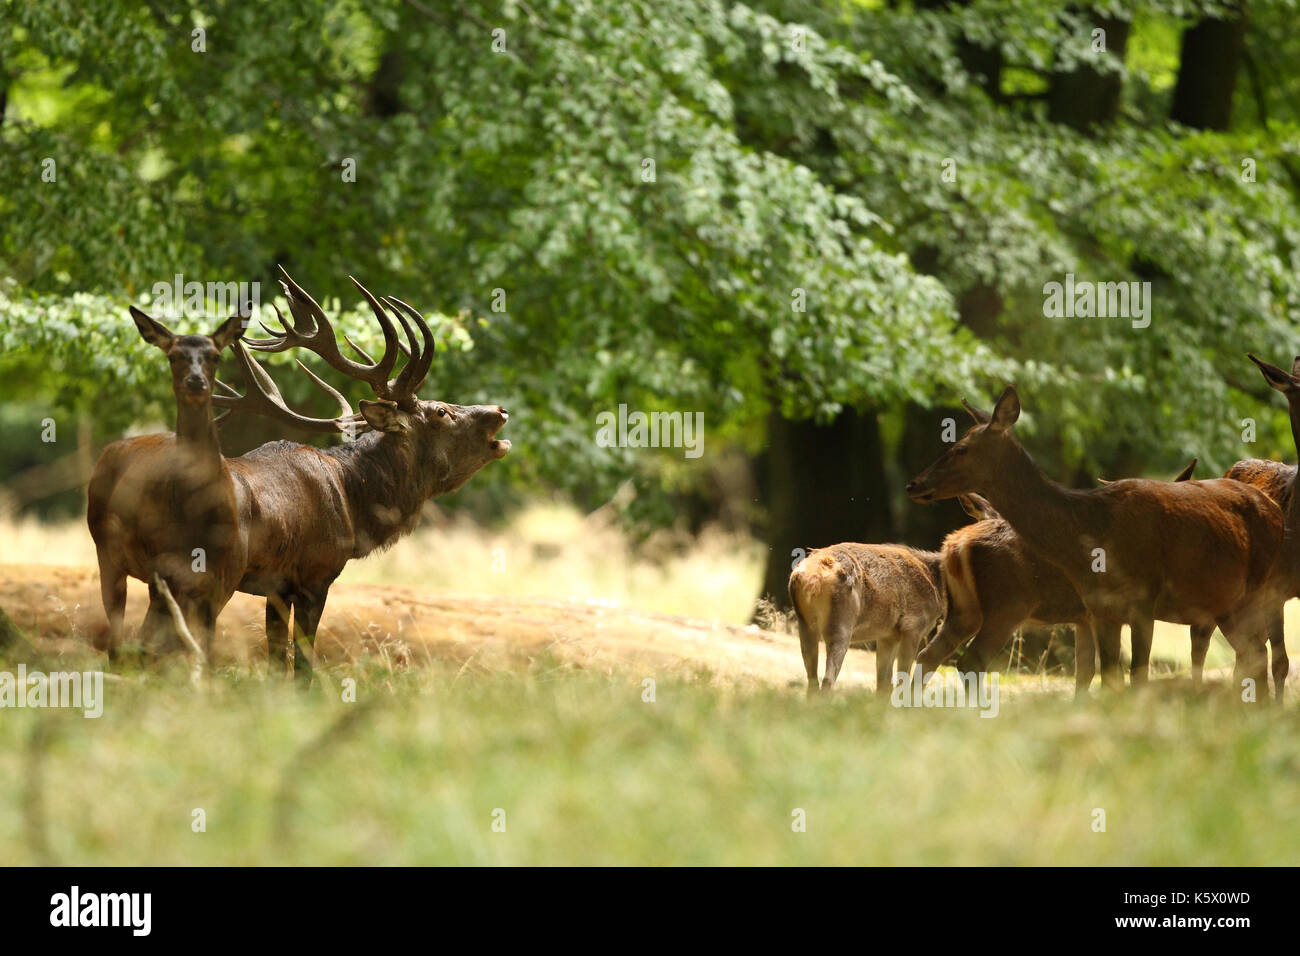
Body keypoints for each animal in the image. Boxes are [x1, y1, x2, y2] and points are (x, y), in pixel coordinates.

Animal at [87, 309, 248, 664]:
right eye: (173, 356)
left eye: (215, 355)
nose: (195, 381)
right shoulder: (162, 562)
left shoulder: (223, 572)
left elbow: (204, 645)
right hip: (106, 549)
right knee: (118, 629)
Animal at [209, 268, 510, 680]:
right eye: (441, 412)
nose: (499, 410)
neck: (354, 504)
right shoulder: (314, 576)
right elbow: (303, 664)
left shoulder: (276, 587)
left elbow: (275, 660)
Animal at [788, 543, 945, 696]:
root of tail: (812, 579)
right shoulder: (913, 625)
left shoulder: (888, 635)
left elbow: (884, 684)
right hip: (842, 623)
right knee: (828, 680)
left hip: (805, 623)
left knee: (812, 679)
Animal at [922, 460, 1198, 696]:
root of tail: (955, 545)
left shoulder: (1085, 619)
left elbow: (1085, 672)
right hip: (1007, 607)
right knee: (970, 660)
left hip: (964, 610)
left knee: (929, 655)